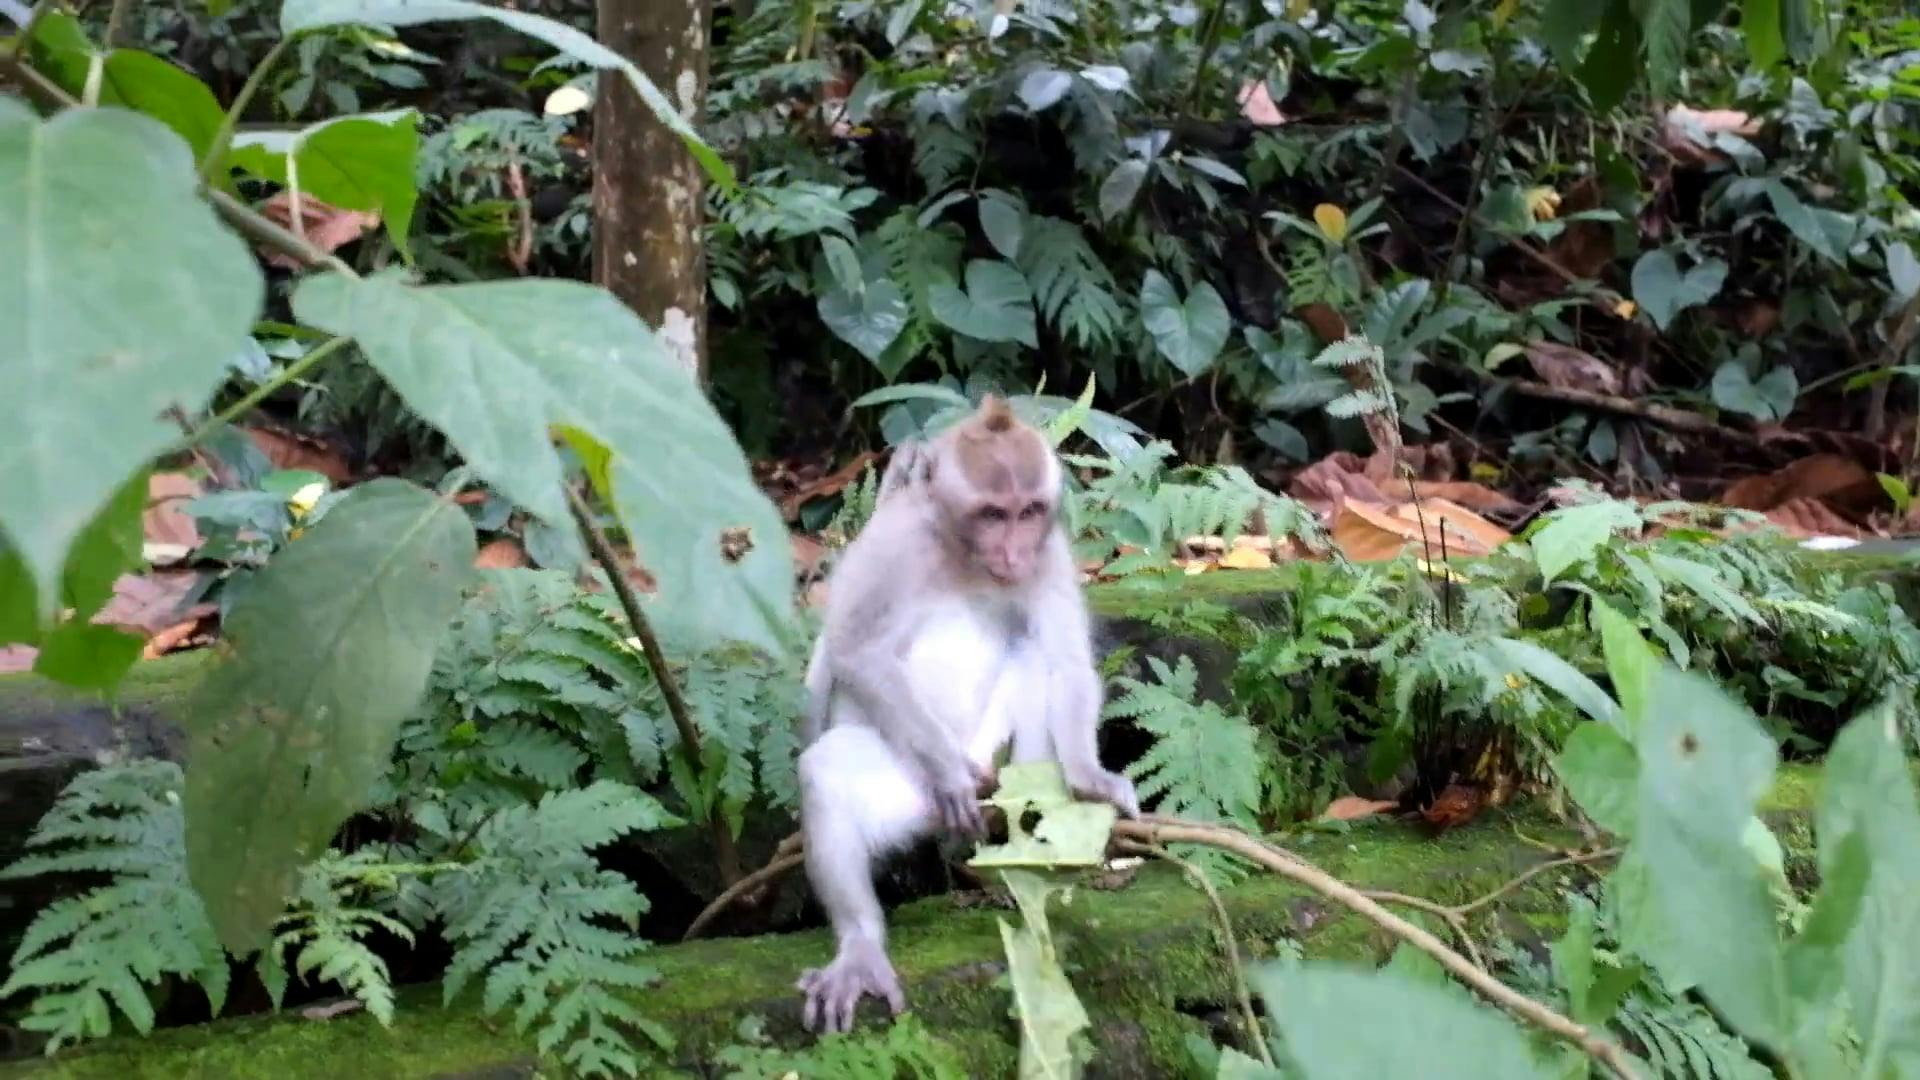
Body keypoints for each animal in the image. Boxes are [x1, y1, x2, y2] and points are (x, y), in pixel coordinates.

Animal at [794, 396, 1139, 1034]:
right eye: (993, 514)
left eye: (1029, 512)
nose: (1014, 553)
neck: (963, 558)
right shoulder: (896, 542)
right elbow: (855, 649)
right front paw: (950, 773)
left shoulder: (1050, 554)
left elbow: (1066, 663)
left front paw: (1091, 777)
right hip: (907, 790)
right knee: (825, 772)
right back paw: (861, 945)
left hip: (994, 756)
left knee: (1033, 658)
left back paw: (1029, 832)